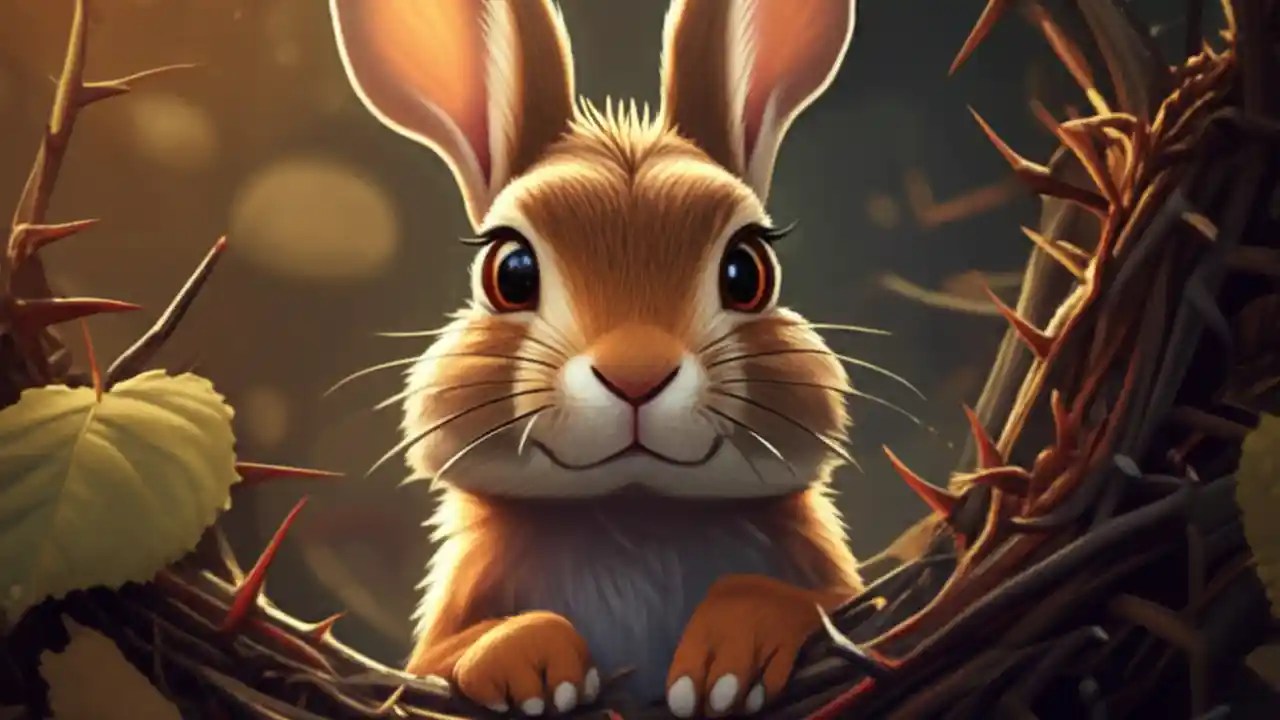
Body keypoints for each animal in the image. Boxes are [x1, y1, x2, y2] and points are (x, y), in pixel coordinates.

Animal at [330, 0, 863, 716]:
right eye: (511, 271)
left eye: (747, 271)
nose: (636, 373)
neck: (634, 509)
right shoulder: (430, 653)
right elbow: (445, 659)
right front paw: (529, 667)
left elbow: (812, 601)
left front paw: (728, 657)